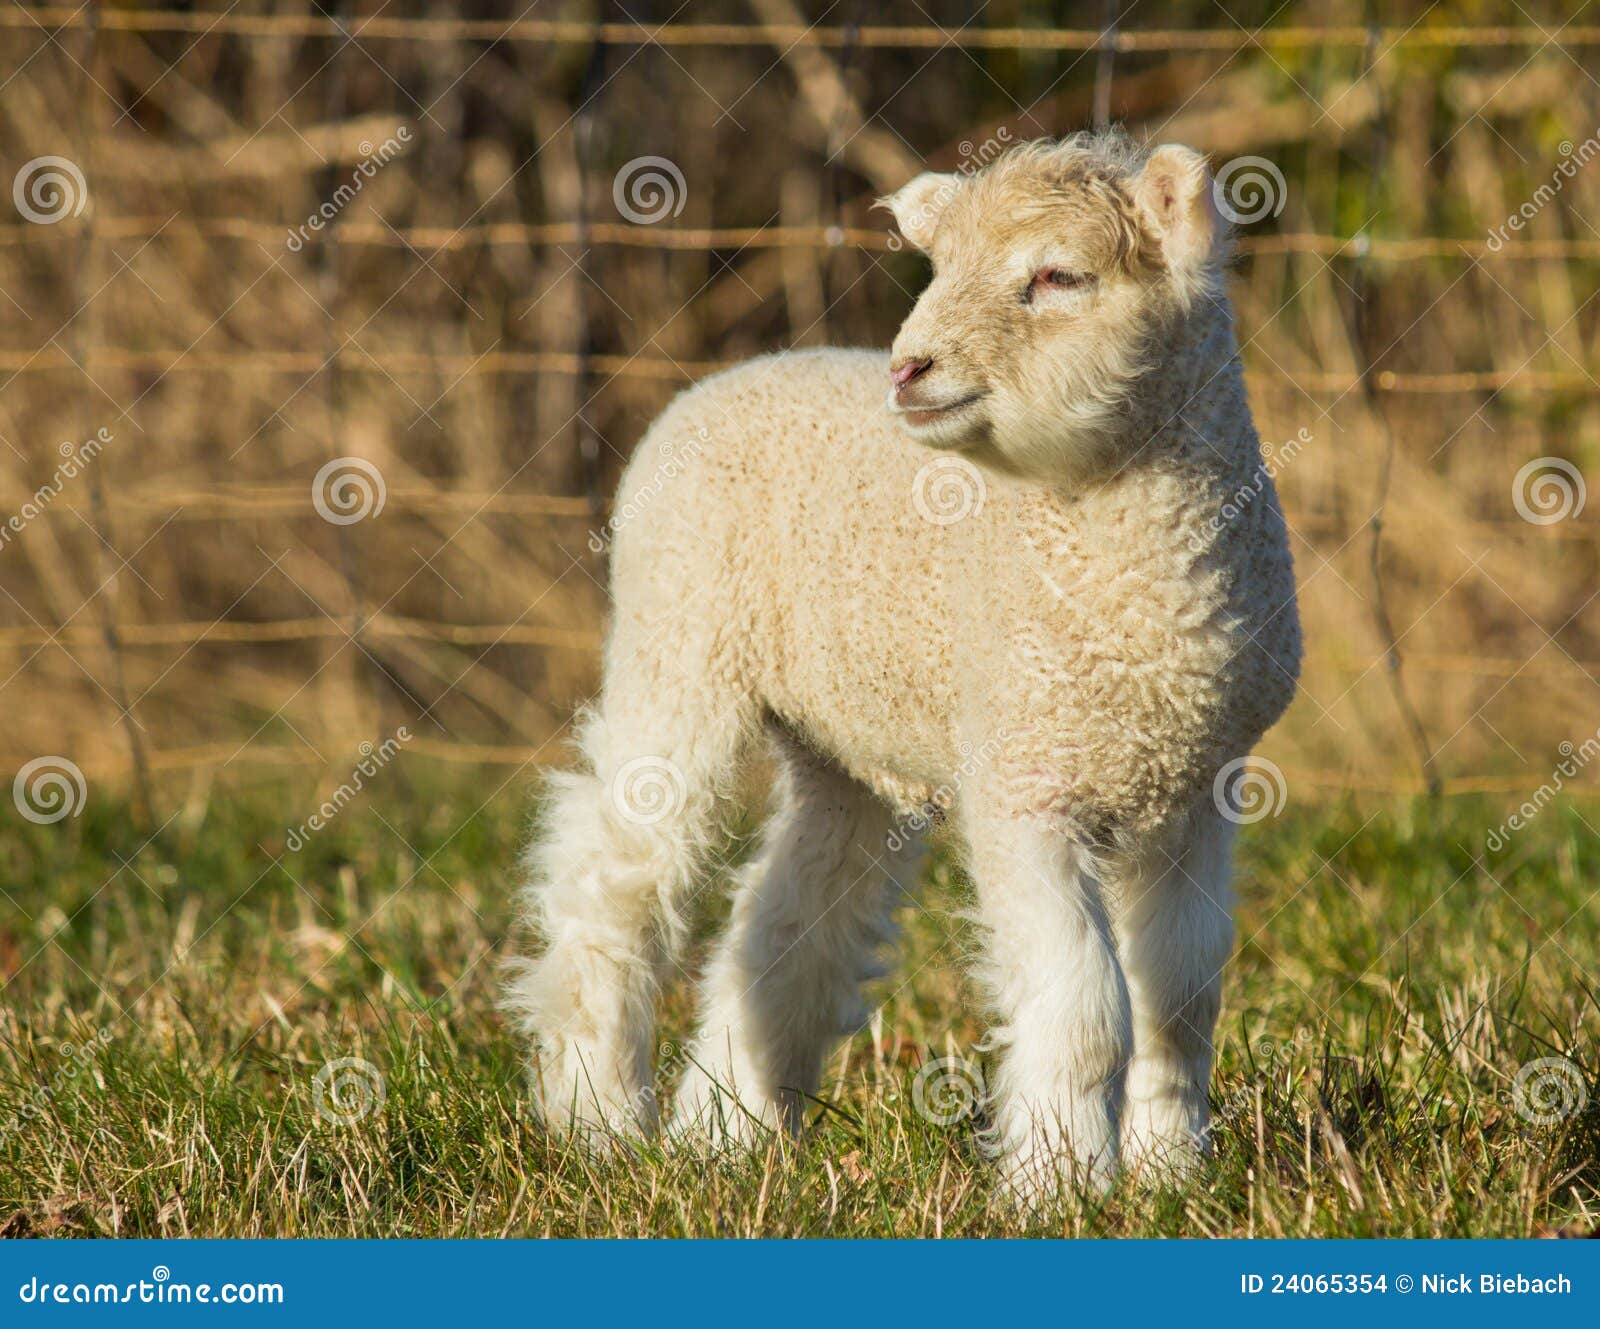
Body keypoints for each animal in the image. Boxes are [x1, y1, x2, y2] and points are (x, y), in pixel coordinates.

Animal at [504, 130, 1301, 1203]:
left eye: (1058, 276)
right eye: (939, 268)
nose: (909, 366)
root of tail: (742, 371)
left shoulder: (1196, 785)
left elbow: (1179, 997)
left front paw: (1173, 1174)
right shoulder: (1021, 777)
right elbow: (1085, 1003)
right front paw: (1060, 1185)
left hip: (842, 747)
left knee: (784, 927)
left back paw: (724, 1135)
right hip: (676, 643)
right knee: (616, 885)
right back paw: (597, 1121)